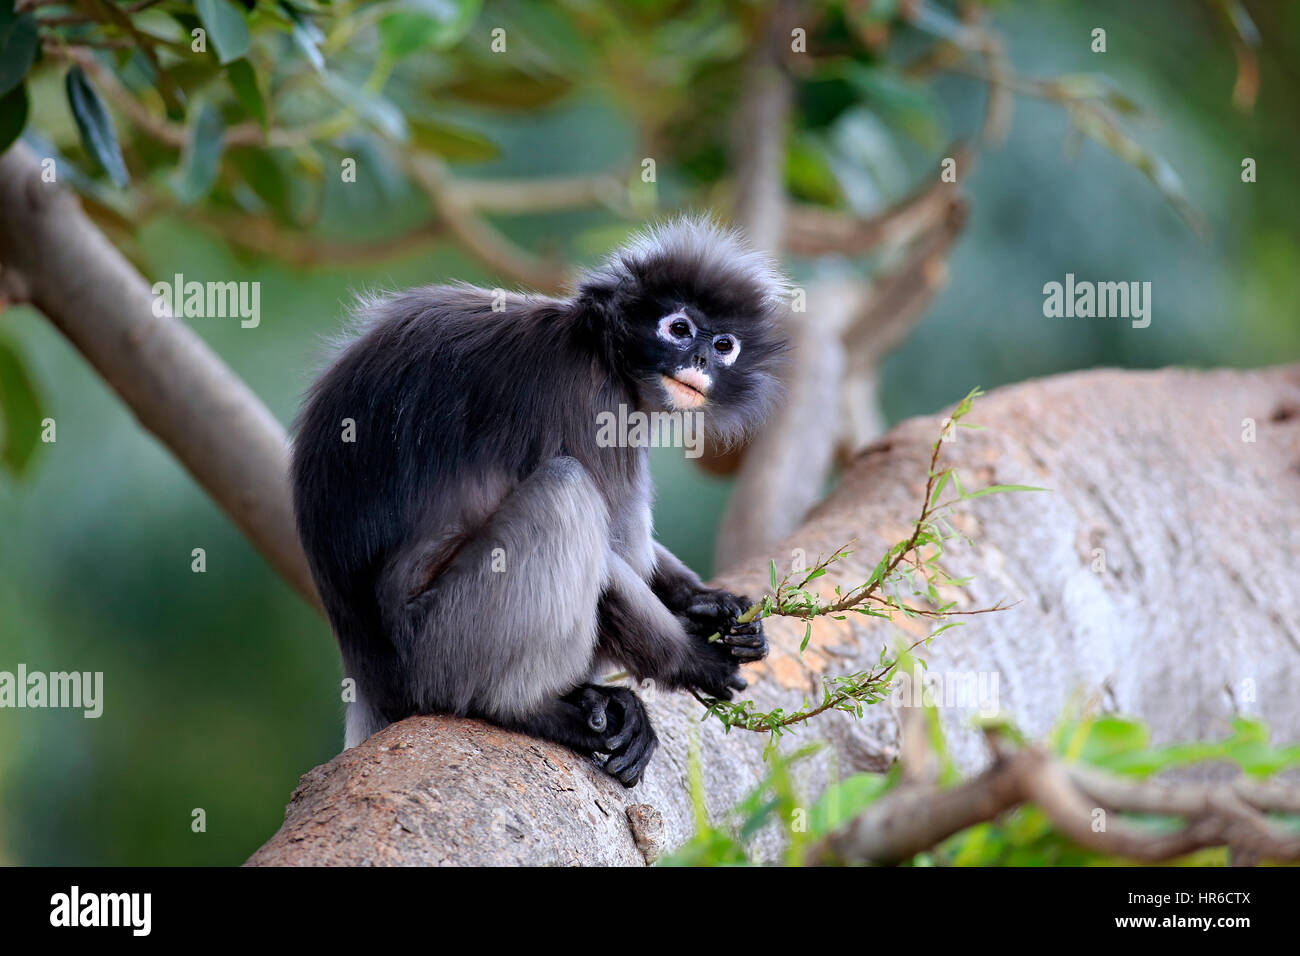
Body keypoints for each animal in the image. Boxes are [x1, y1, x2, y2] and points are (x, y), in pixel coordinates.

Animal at [290, 217, 789, 787]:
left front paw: (708, 601)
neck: (596, 345)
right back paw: (529, 709)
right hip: (440, 646)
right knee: (567, 492)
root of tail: (366, 674)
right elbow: (621, 553)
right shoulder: (590, 402)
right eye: (679, 329)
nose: (701, 358)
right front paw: (692, 658)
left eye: (725, 344)